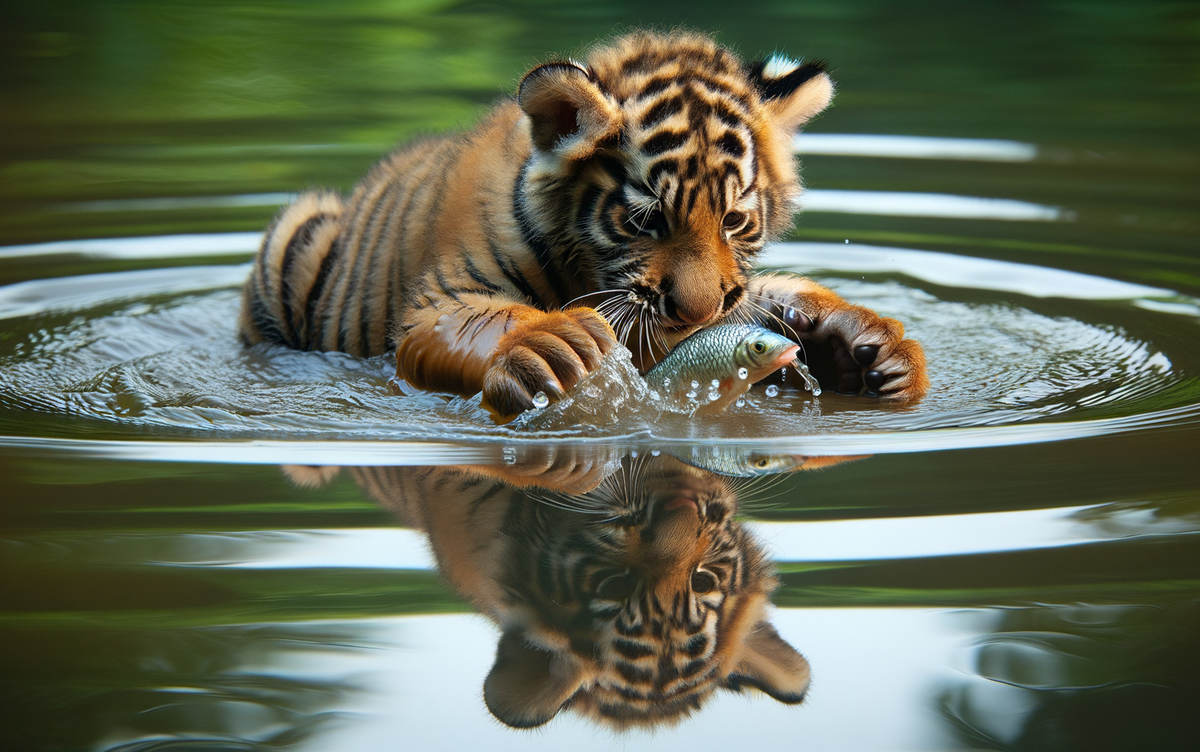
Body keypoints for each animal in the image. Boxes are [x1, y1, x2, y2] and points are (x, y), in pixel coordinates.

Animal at [241, 30, 929, 417]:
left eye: (734, 221)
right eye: (647, 219)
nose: (699, 315)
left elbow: (766, 294)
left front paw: (867, 344)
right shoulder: (441, 299)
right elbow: (481, 323)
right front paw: (545, 346)